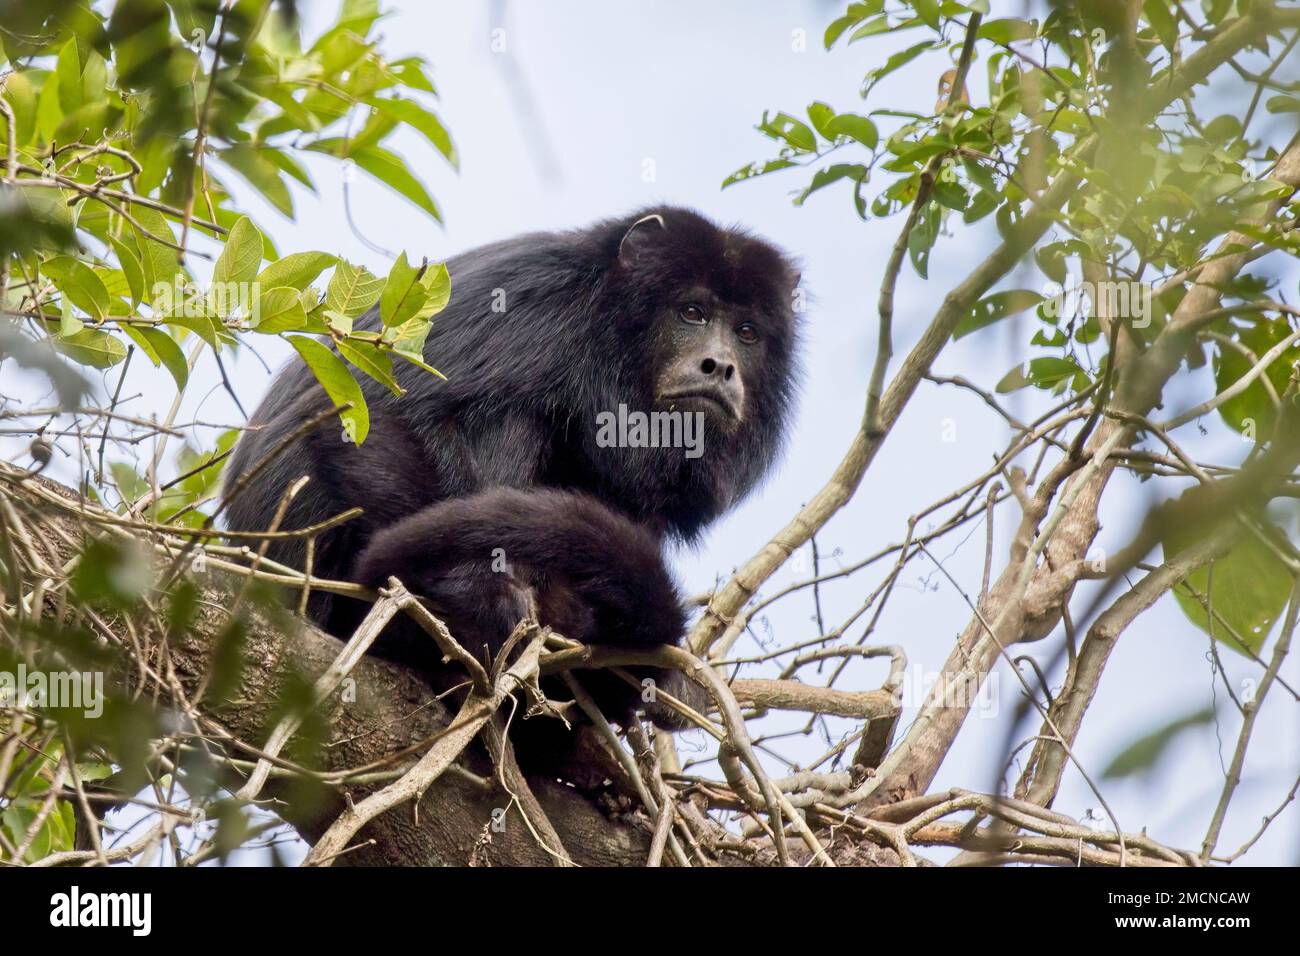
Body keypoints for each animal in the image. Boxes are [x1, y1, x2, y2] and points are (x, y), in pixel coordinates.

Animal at [223, 206, 801, 761]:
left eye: (747, 333)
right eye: (692, 312)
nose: (720, 366)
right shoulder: (536, 296)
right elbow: (363, 411)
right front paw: (479, 594)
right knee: (502, 418)